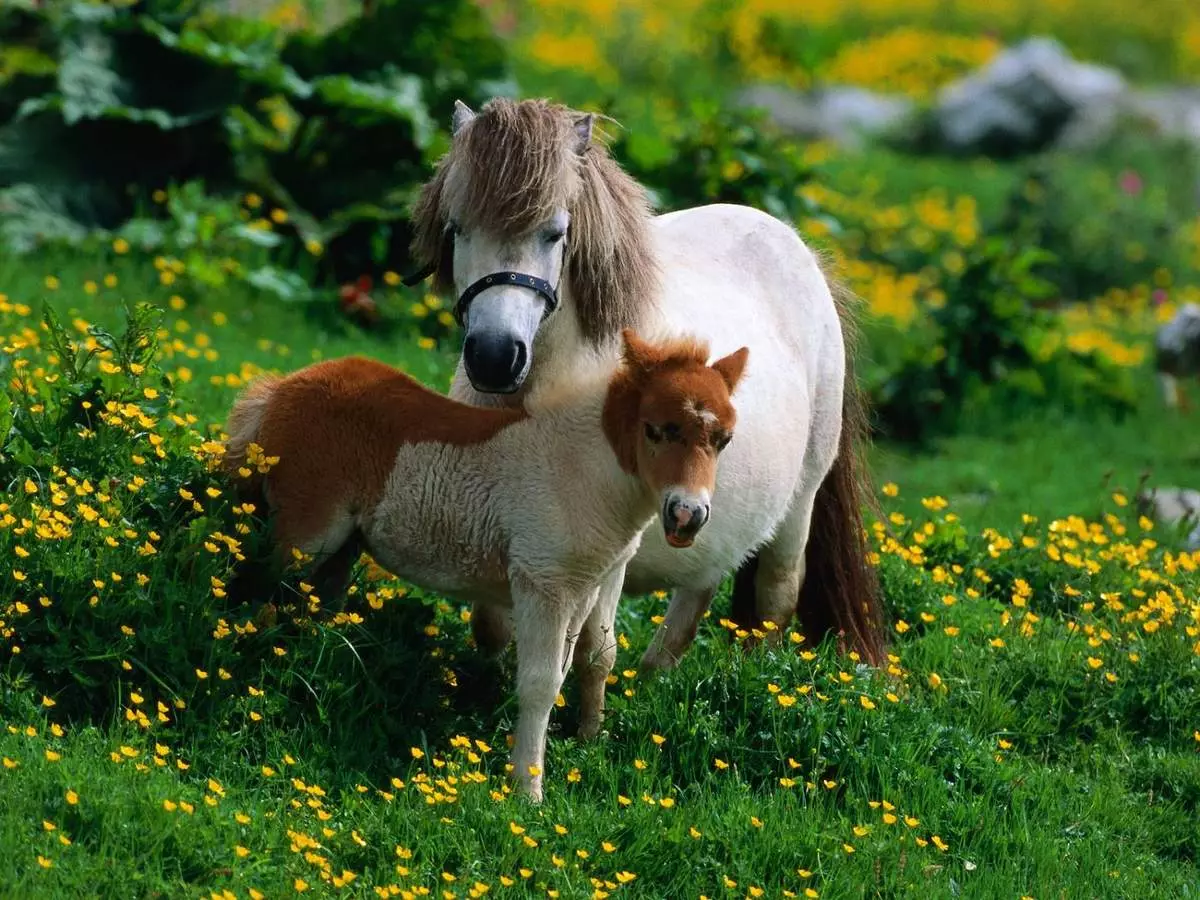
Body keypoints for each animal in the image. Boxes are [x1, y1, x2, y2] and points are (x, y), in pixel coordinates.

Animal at [222, 328, 744, 801]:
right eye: (655, 429)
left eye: (724, 440)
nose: (687, 515)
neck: (583, 470)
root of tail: (281, 387)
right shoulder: (542, 584)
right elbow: (539, 683)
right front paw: (527, 791)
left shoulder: (585, 587)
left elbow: (580, 664)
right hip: (306, 535)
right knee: (256, 594)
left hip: (342, 547)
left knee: (310, 606)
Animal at [412, 100, 892, 676]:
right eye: (457, 228)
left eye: (555, 233)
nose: (494, 355)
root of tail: (803, 254)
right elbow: (492, 626)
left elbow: (589, 646)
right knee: (702, 583)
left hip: (800, 503)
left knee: (776, 595)